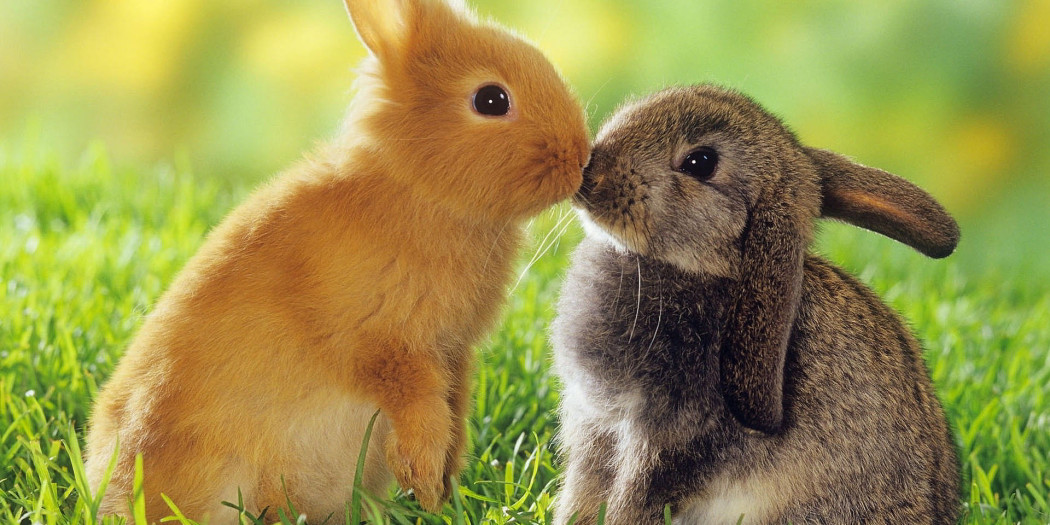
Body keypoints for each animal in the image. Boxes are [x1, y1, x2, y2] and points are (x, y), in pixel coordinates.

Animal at [82, 0, 589, 522]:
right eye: (491, 100)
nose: (581, 158)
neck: (418, 188)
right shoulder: (387, 348)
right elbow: (422, 412)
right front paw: (426, 484)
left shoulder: (453, 354)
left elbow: (454, 416)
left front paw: (442, 494)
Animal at [550, 85, 961, 525]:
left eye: (701, 162)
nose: (590, 174)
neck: (709, 268)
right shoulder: (595, 425)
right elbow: (583, 491)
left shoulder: (671, 437)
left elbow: (635, 498)